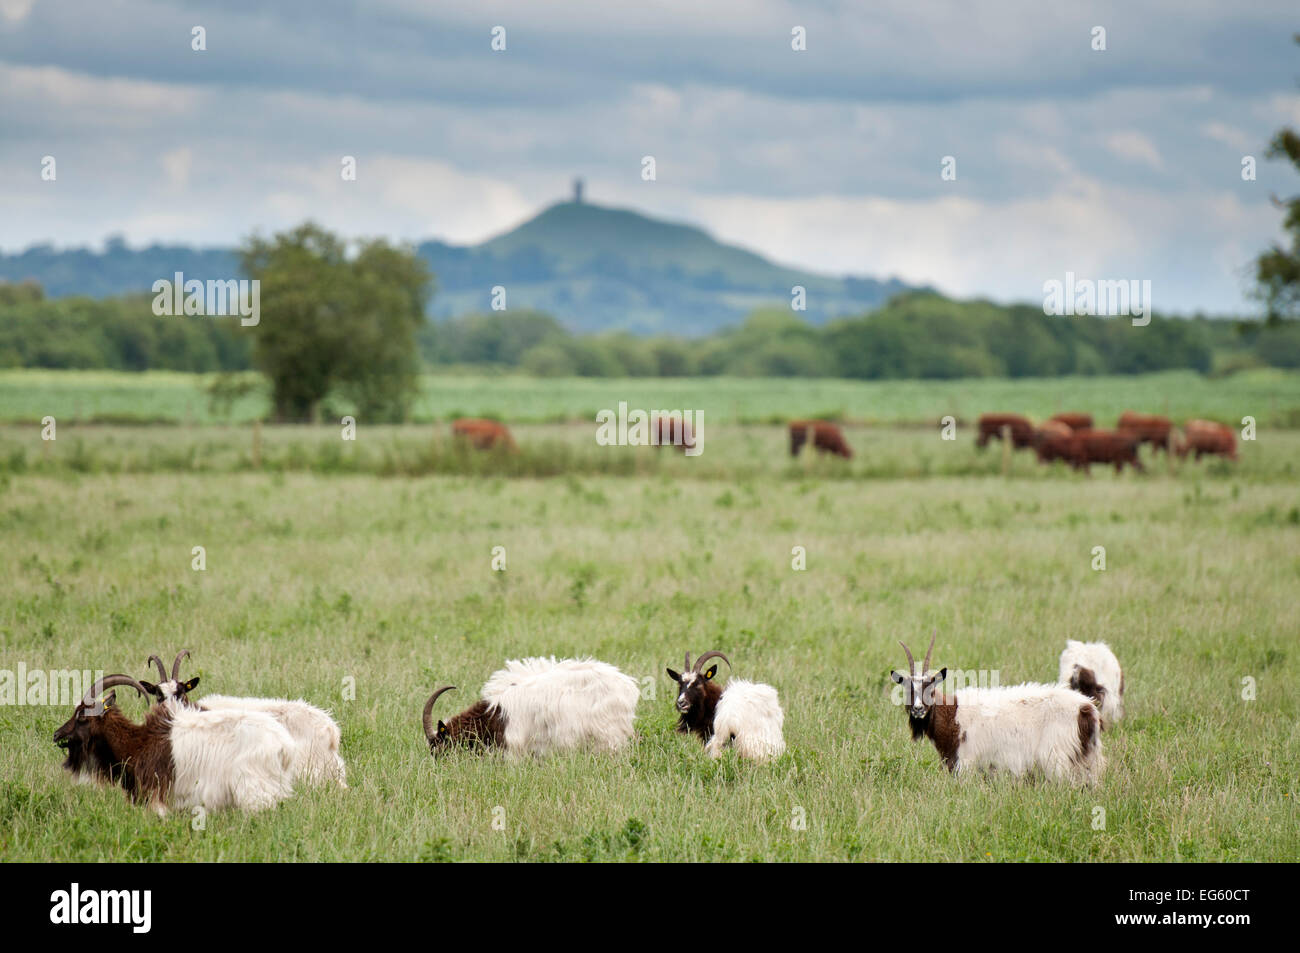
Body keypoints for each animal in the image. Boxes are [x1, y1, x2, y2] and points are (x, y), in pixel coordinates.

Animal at [53, 674, 297, 815]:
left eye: (81, 716)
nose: (57, 735)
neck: (138, 744)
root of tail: (285, 747)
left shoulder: (157, 796)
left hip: (255, 791)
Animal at [890, 636, 1103, 785]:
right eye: (907, 689)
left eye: (931, 689)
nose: (918, 709)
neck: (953, 715)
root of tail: (1085, 708)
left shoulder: (966, 763)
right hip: (1087, 761)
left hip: (1058, 759)